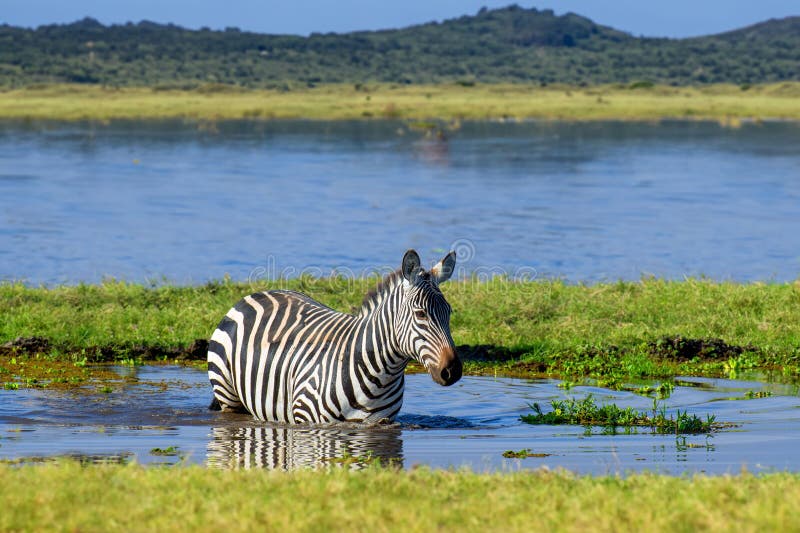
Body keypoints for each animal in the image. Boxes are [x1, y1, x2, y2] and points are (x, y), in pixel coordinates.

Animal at [207, 249, 462, 424]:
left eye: (449, 312)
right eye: (420, 314)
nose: (453, 371)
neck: (382, 373)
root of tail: (258, 293)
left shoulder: (380, 422)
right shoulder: (306, 418)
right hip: (229, 396)